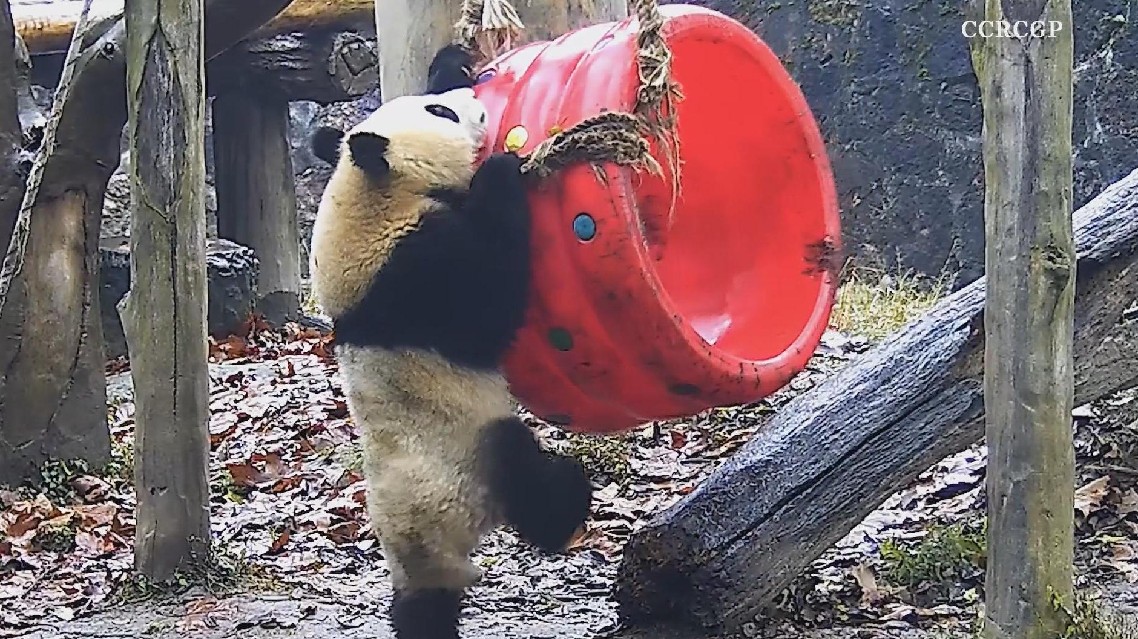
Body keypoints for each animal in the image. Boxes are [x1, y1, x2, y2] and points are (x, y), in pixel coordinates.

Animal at [308, 44, 595, 639]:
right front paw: (501, 170)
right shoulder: (412, 272)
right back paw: (569, 495)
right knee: (523, 473)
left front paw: (451, 61)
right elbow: (487, 301)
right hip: (463, 464)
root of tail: (425, 558)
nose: (474, 101)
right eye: (440, 114)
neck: (368, 198)